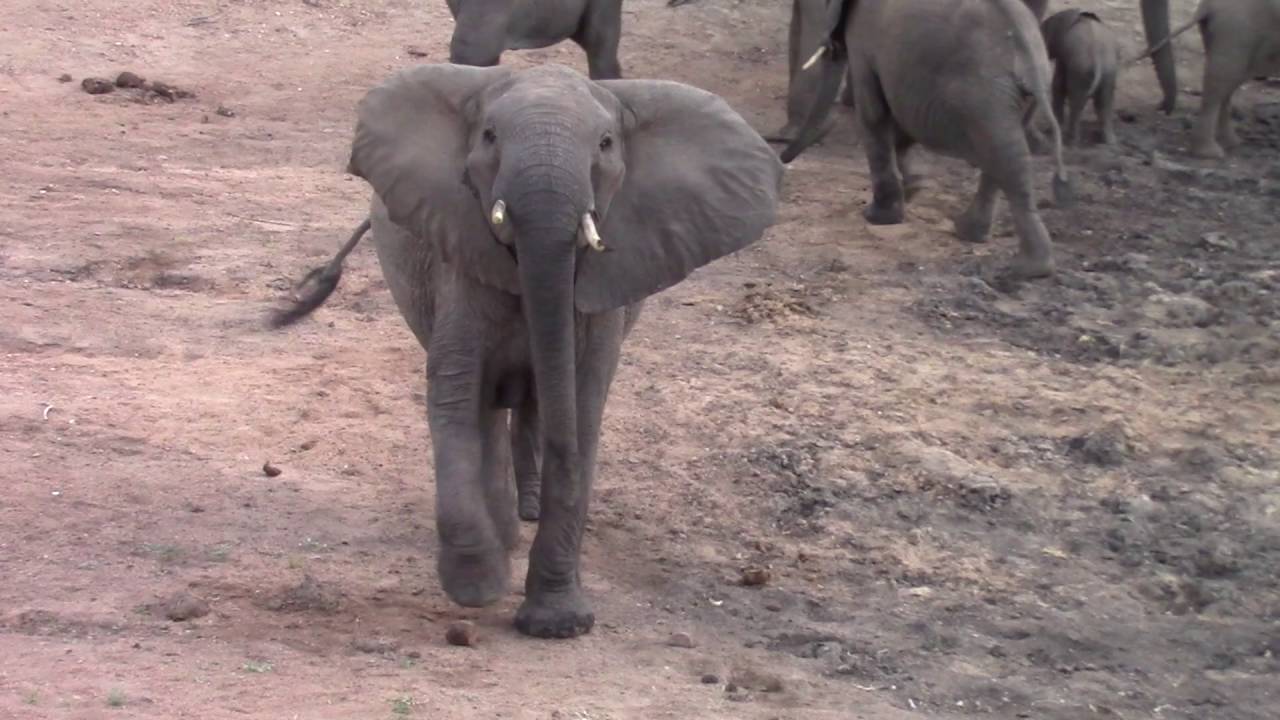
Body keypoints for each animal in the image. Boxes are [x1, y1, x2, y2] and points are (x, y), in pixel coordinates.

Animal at [270, 63, 782, 638]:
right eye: (490, 136)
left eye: (606, 144)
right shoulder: (458, 257)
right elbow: (455, 393)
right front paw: (480, 587)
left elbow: (579, 405)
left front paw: (558, 623)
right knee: (490, 408)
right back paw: (507, 534)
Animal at [781, 0, 1071, 280]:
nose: (783, 158)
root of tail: (1024, 47)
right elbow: (899, 122)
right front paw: (914, 188)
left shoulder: (863, 40)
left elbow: (874, 113)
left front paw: (879, 217)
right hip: (1015, 95)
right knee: (1004, 155)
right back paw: (976, 235)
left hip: (982, 91)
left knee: (1001, 155)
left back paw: (1026, 268)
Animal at [1042, 10, 1121, 146]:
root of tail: (1097, 57)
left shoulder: (1064, 54)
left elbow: (1058, 84)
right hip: (1109, 71)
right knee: (1104, 102)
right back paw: (1110, 142)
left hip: (1080, 69)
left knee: (1077, 102)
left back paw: (1071, 142)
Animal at [1135, 0, 1280, 158]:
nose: (1160, 107)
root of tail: (1208, 6)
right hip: (1236, 31)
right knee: (1222, 78)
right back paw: (1213, 151)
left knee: (1227, 80)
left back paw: (1228, 144)